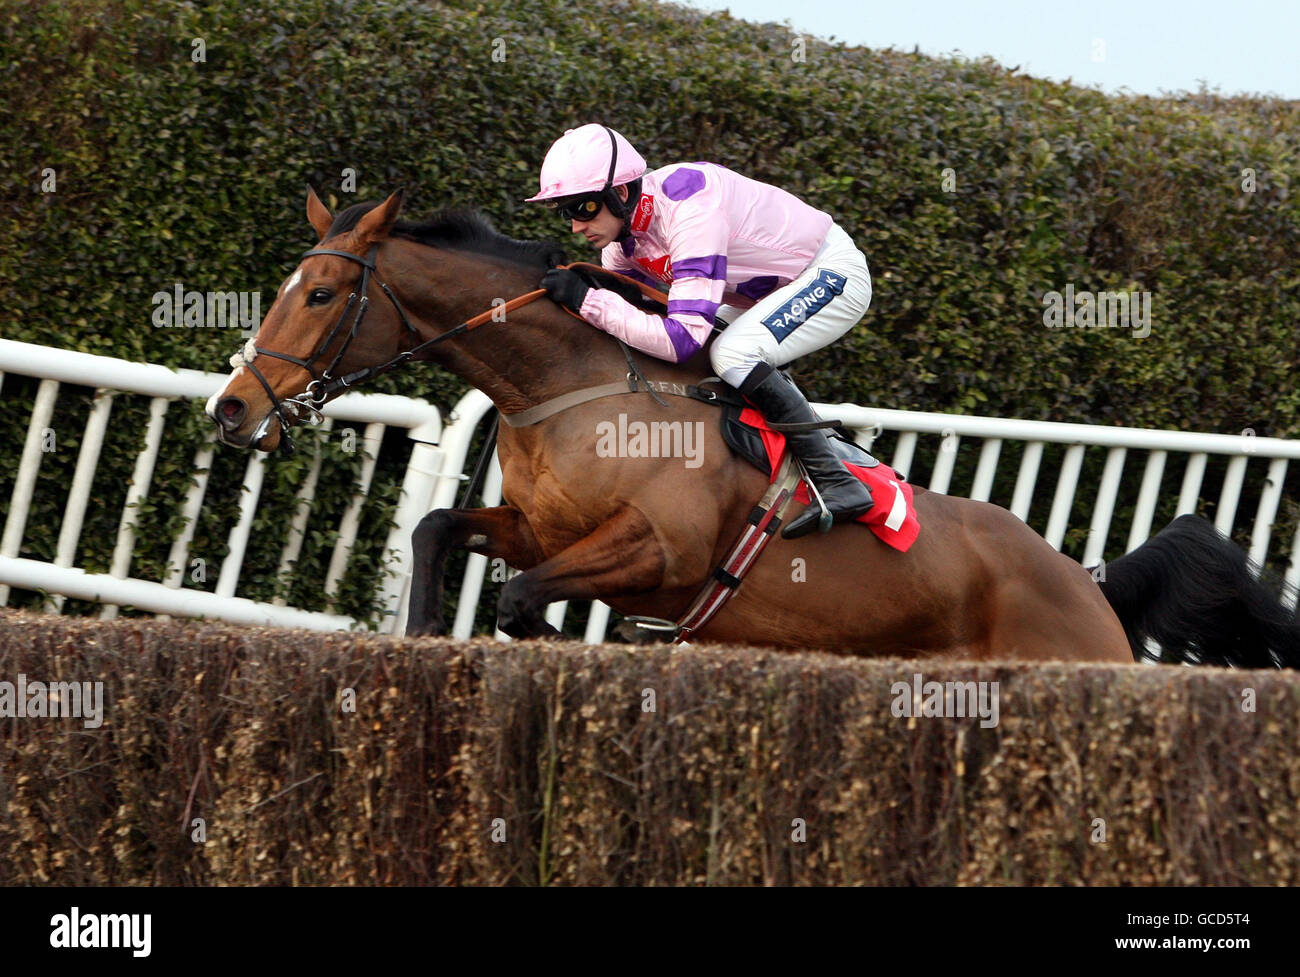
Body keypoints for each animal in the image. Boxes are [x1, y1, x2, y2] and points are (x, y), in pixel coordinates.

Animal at [205, 188, 1300, 668]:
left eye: (324, 292)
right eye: (293, 285)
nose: (234, 407)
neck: (574, 384)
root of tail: (1093, 584)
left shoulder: (660, 549)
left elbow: (519, 595)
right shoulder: (542, 524)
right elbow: (445, 532)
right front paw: (434, 630)